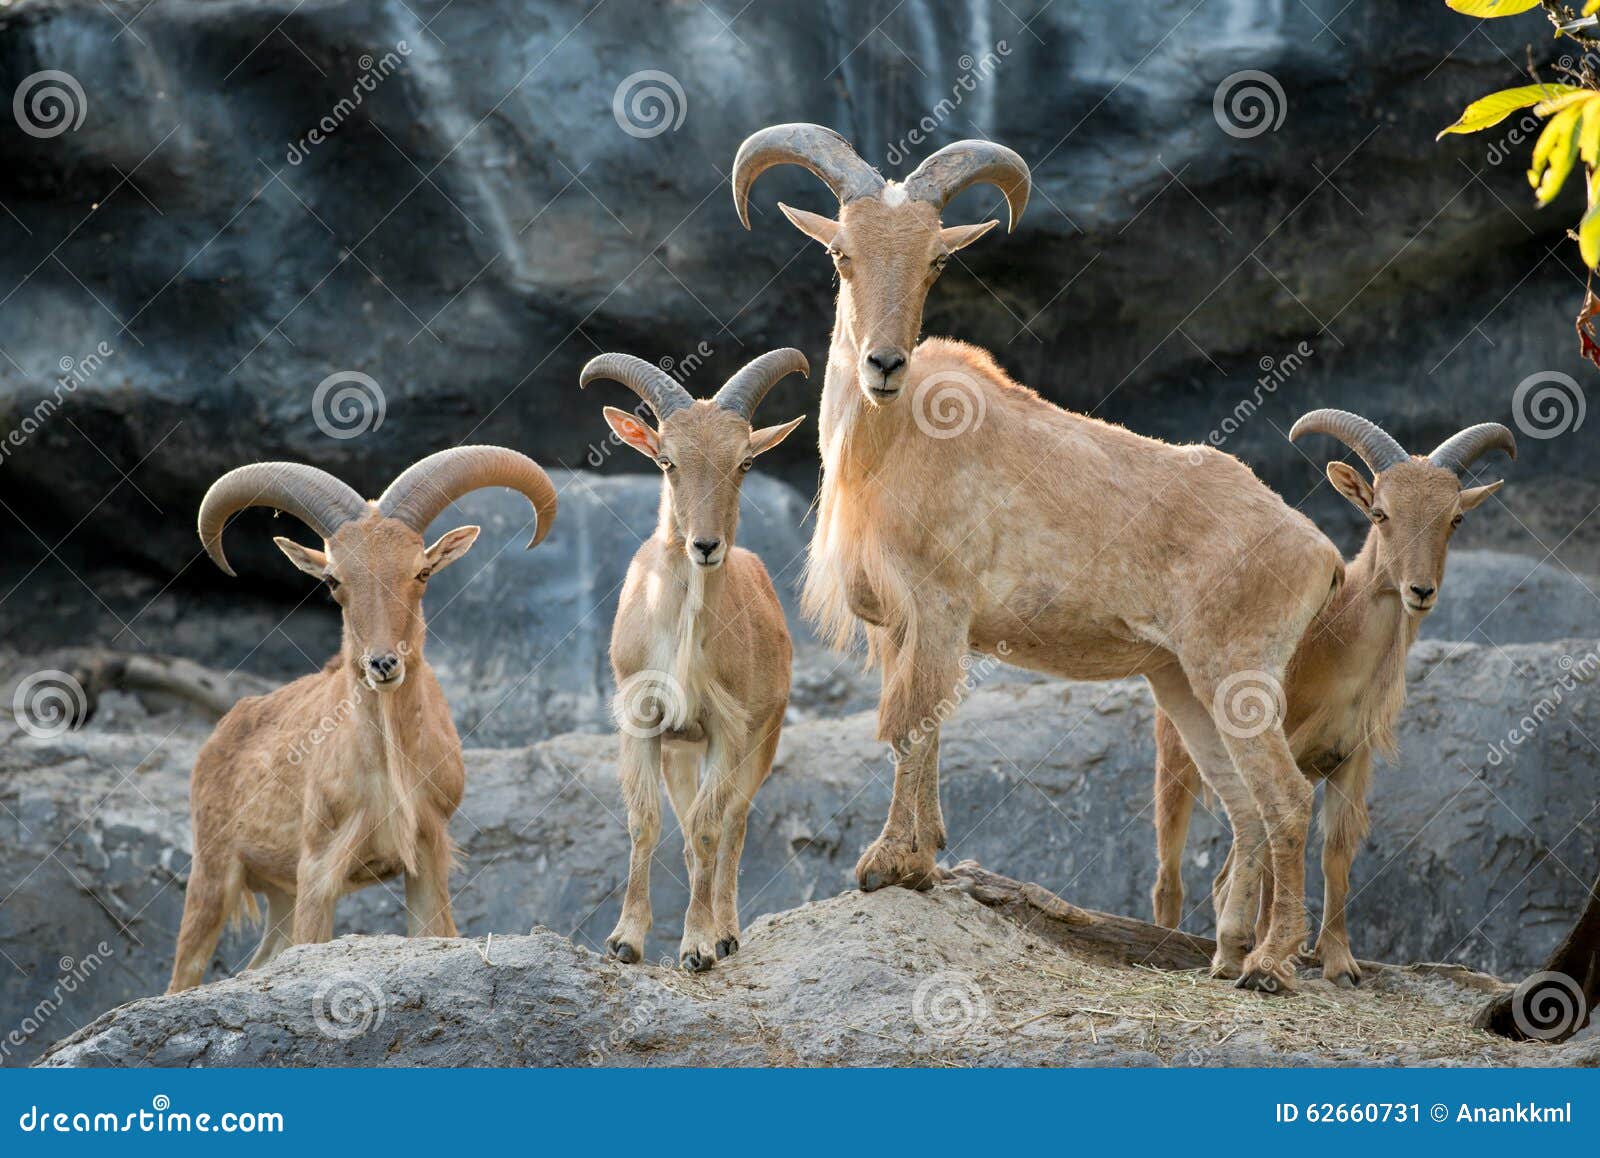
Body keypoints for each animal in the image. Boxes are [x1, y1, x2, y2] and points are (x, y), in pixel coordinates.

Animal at [167, 447, 558, 992]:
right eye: (334, 581)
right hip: (214, 872)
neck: (387, 770)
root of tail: (220, 735)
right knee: (184, 974)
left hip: (278, 893)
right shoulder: (317, 870)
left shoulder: (427, 857)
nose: (383, 664)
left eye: (421, 573)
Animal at [581, 349, 806, 972]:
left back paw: (725, 931)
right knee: (685, 828)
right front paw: (625, 940)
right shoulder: (641, 720)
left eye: (745, 462)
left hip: (762, 737)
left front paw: (699, 945)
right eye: (667, 461)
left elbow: (710, 830)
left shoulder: (729, 728)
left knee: (733, 824)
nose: (705, 546)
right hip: (682, 751)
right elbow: (646, 823)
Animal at [733, 123, 1346, 991]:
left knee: (1288, 799)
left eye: (935, 260)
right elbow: (920, 728)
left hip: (1237, 672)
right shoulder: (902, 627)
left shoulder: (938, 610)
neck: (887, 446)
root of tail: (1320, 550)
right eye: (842, 254)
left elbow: (908, 724)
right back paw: (1227, 955)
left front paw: (888, 863)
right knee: (1243, 805)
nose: (884, 364)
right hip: (1182, 684)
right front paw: (926, 856)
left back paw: (1268, 964)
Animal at [1152, 410, 1515, 986]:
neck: (1335, 642)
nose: (1420, 591)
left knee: (1224, 870)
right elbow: (1281, 845)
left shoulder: (1349, 758)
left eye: (1455, 519)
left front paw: (1338, 960)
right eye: (1380, 513)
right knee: (1170, 872)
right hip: (1176, 754)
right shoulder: (1287, 743)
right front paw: (1271, 954)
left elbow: (1335, 854)